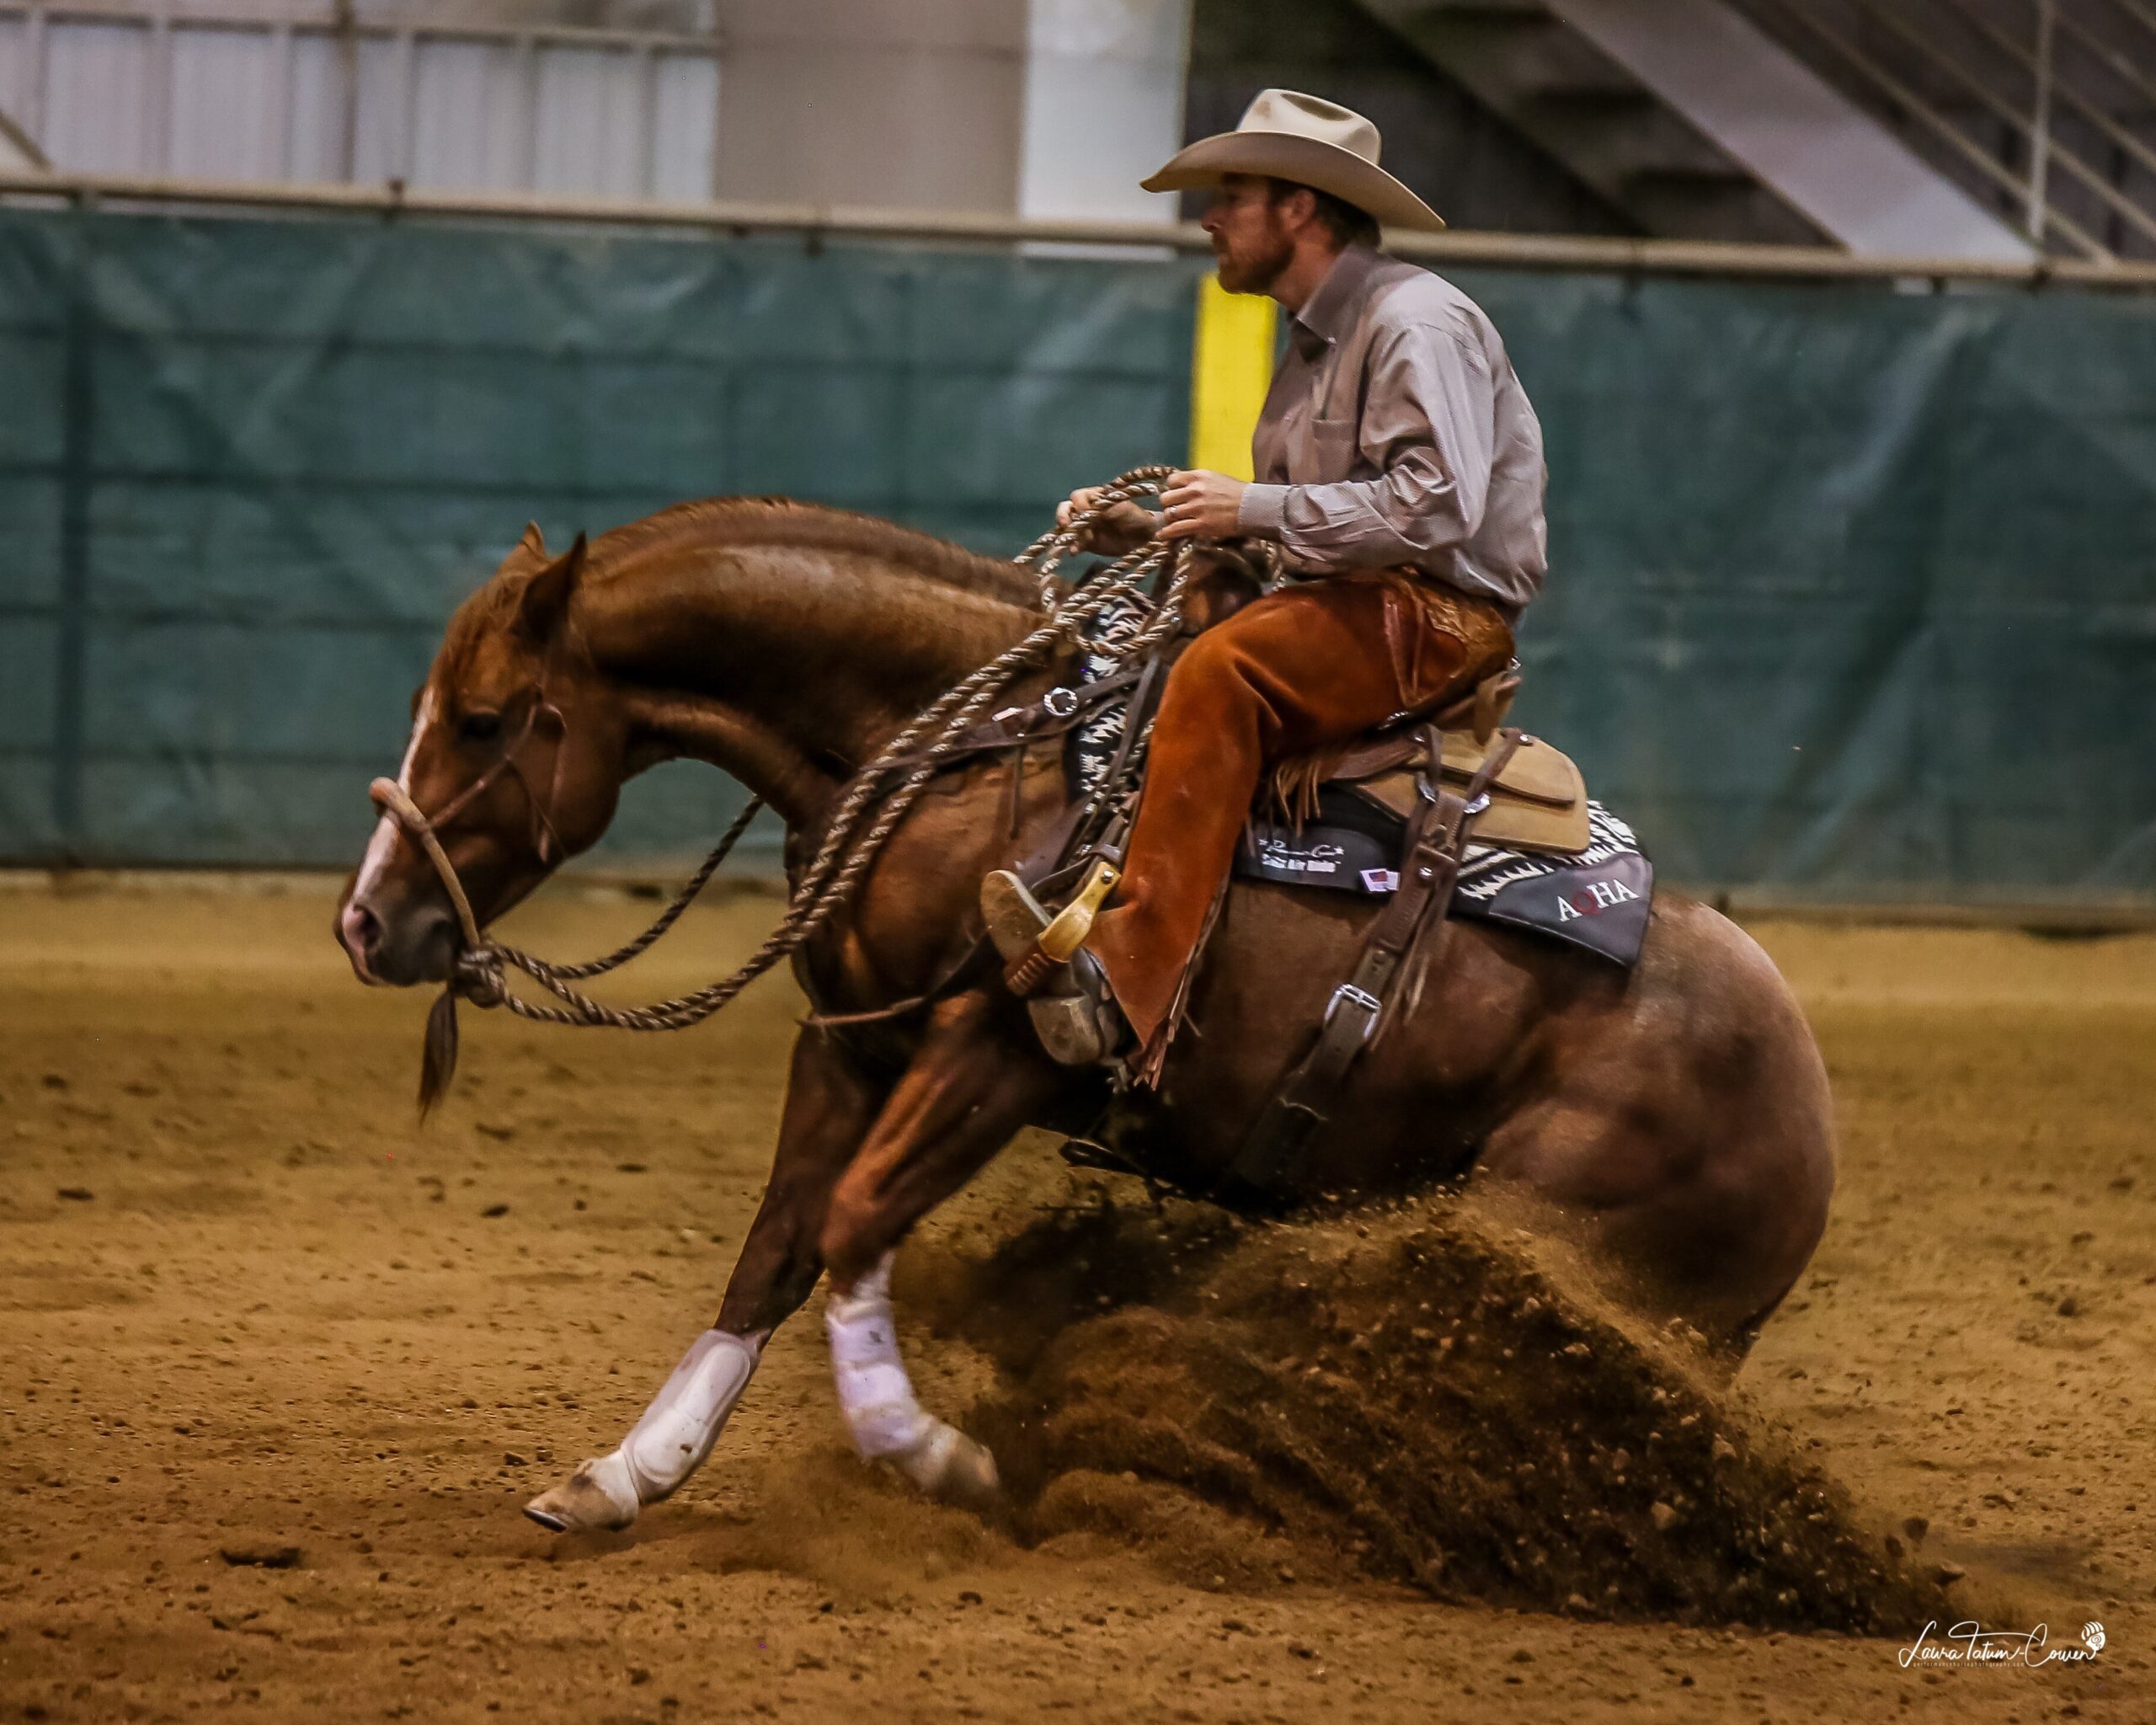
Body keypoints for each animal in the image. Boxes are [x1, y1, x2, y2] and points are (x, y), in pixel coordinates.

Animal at [334, 499, 1835, 1534]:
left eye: (484, 721)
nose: (366, 924)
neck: (984, 752)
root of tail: (1812, 1123)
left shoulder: (996, 1055)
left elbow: (854, 1223)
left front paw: (933, 1453)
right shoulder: (852, 1039)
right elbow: (773, 1254)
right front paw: (626, 1473)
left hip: (1535, 1240)